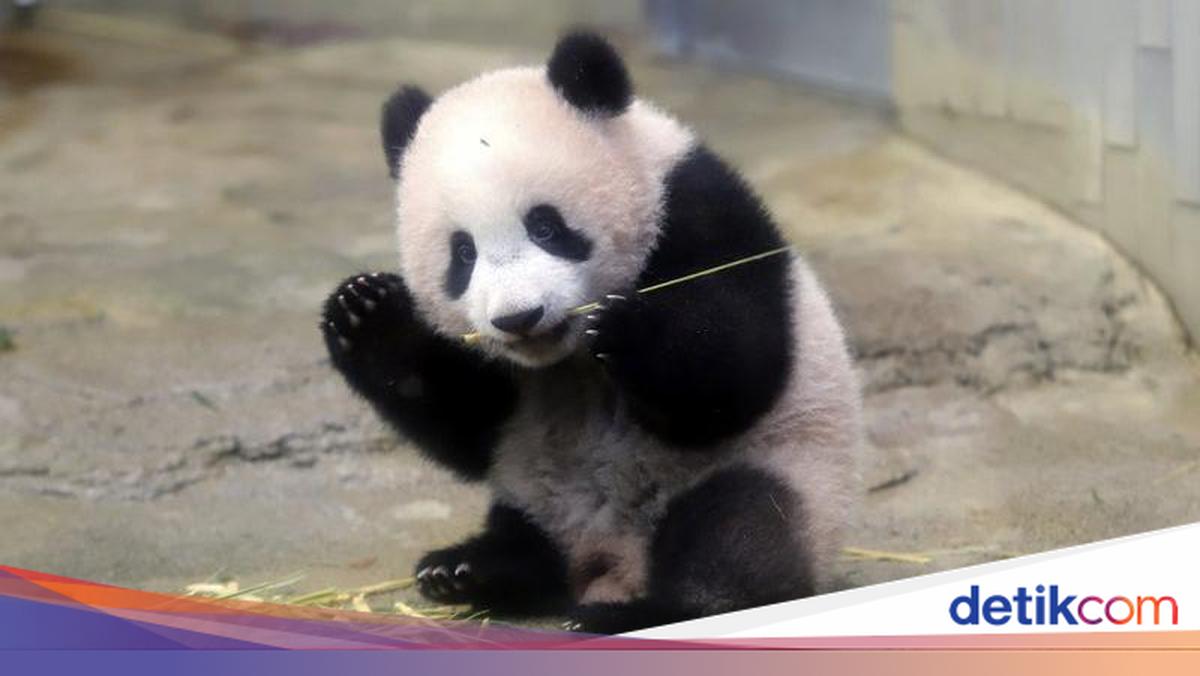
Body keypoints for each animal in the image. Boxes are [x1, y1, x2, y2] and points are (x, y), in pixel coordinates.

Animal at [321, 32, 861, 634]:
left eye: (545, 226)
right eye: (462, 253)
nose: (519, 317)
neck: (566, 358)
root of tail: (608, 561)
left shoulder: (699, 209)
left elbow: (735, 374)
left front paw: (624, 328)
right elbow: (469, 423)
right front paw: (366, 311)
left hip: (785, 472)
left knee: (736, 531)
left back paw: (643, 612)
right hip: (534, 489)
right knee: (527, 541)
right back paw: (467, 569)